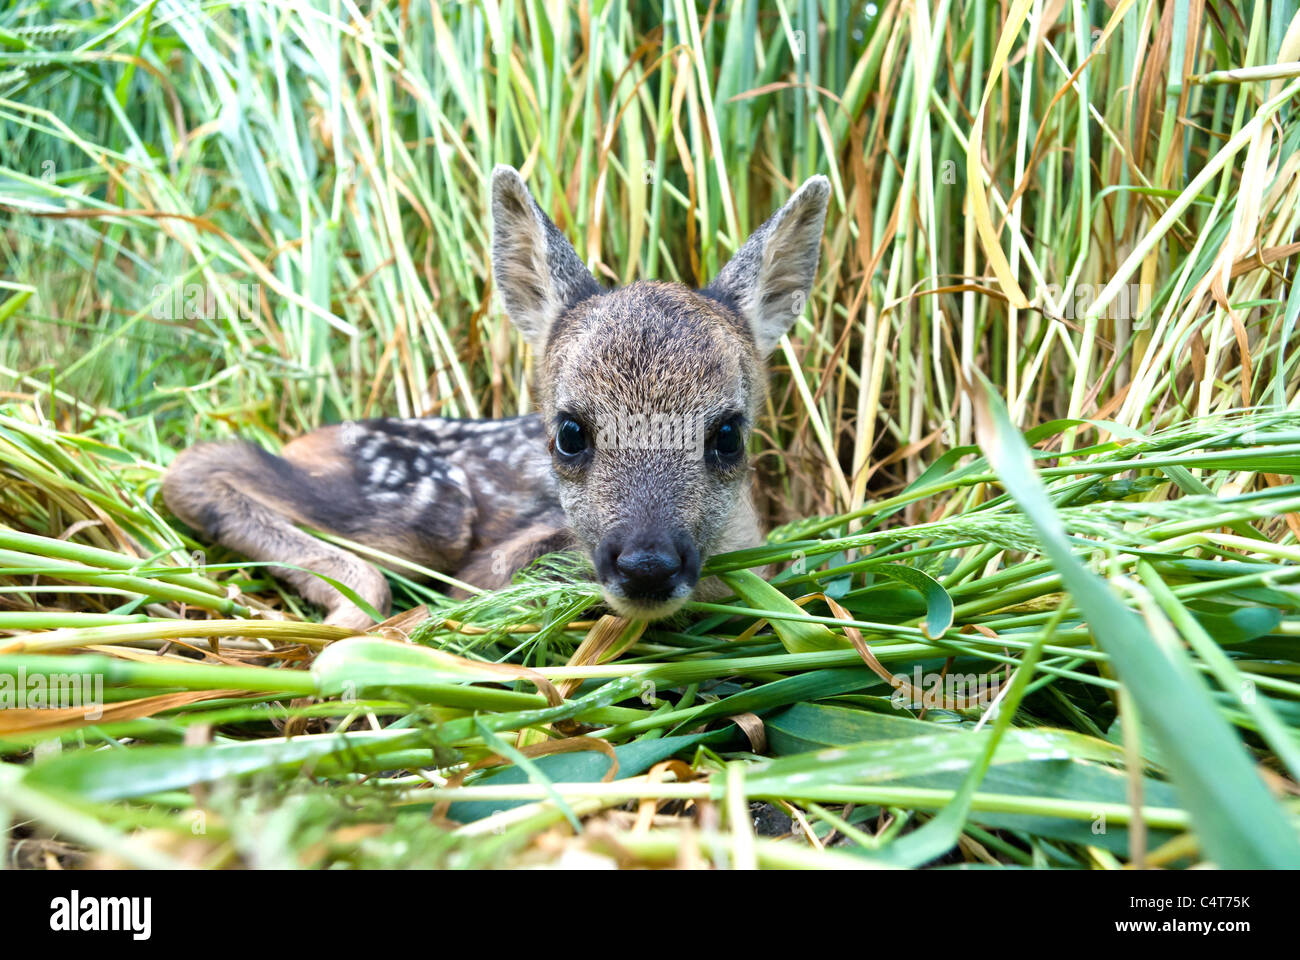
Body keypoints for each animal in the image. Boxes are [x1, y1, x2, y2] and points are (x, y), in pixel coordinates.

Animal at [162, 166, 831, 630]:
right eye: (570, 433)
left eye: (727, 435)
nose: (647, 566)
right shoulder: (492, 569)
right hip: (429, 507)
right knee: (200, 462)